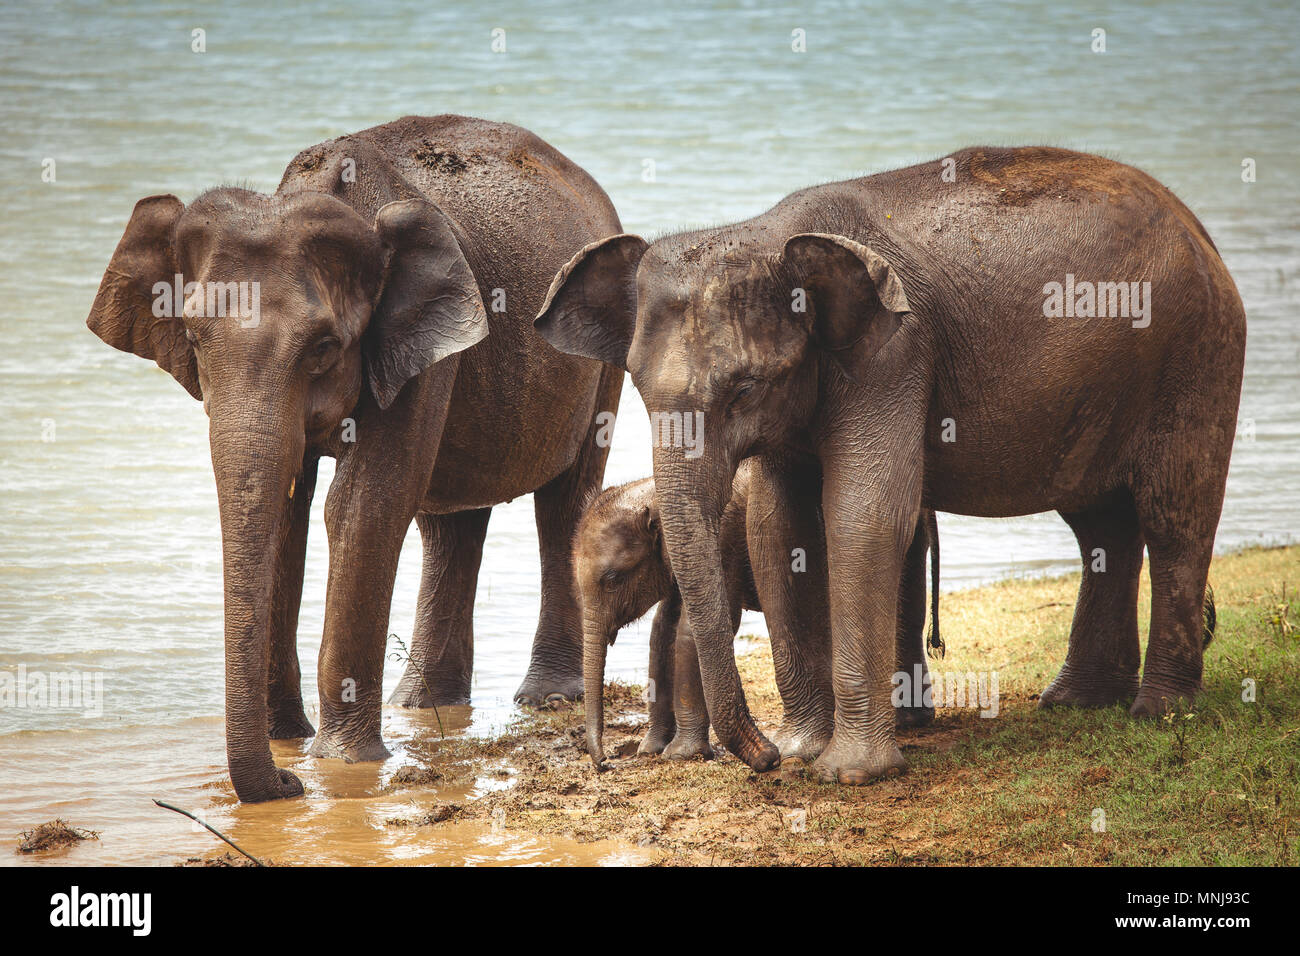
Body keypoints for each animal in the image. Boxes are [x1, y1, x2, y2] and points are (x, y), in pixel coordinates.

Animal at [86, 115, 624, 802]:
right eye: (192, 340)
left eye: (322, 348)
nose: (288, 784)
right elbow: (287, 512)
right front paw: (288, 740)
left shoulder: (419, 346)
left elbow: (362, 505)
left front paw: (338, 762)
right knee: (450, 523)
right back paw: (423, 705)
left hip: (598, 354)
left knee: (562, 501)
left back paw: (544, 699)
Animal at [573, 460, 942, 767]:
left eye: (612, 579)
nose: (605, 762)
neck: (653, 490)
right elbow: (662, 628)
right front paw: (650, 750)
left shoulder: (721, 538)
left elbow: (699, 627)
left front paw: (681, 755)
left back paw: (906, 721)